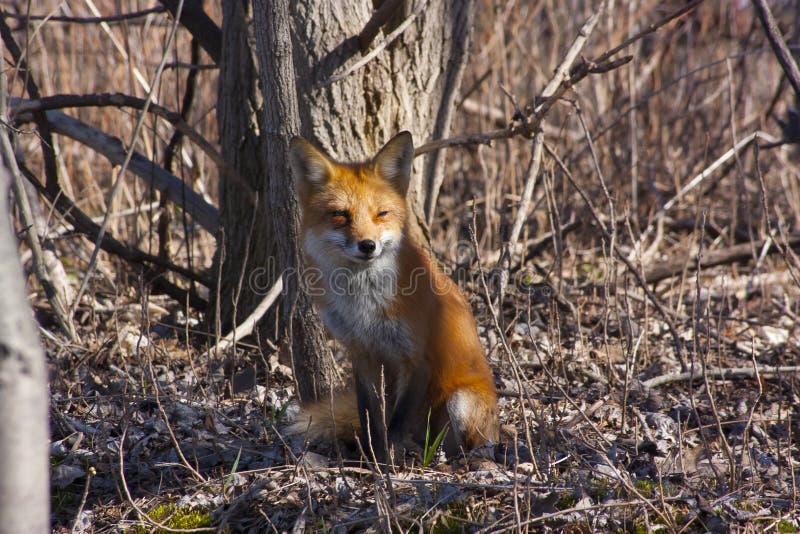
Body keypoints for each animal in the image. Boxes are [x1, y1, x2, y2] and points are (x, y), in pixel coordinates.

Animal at [288, 131, 498, 459]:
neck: (364, 305)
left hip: (460, 403)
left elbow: (396, 425)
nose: (367, 245)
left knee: (464, 445)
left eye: (381, 214)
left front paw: (389, 463)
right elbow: (370, 418)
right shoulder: (362, 354)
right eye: (340, 215)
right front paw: (371, 458)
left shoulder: (417, 358)